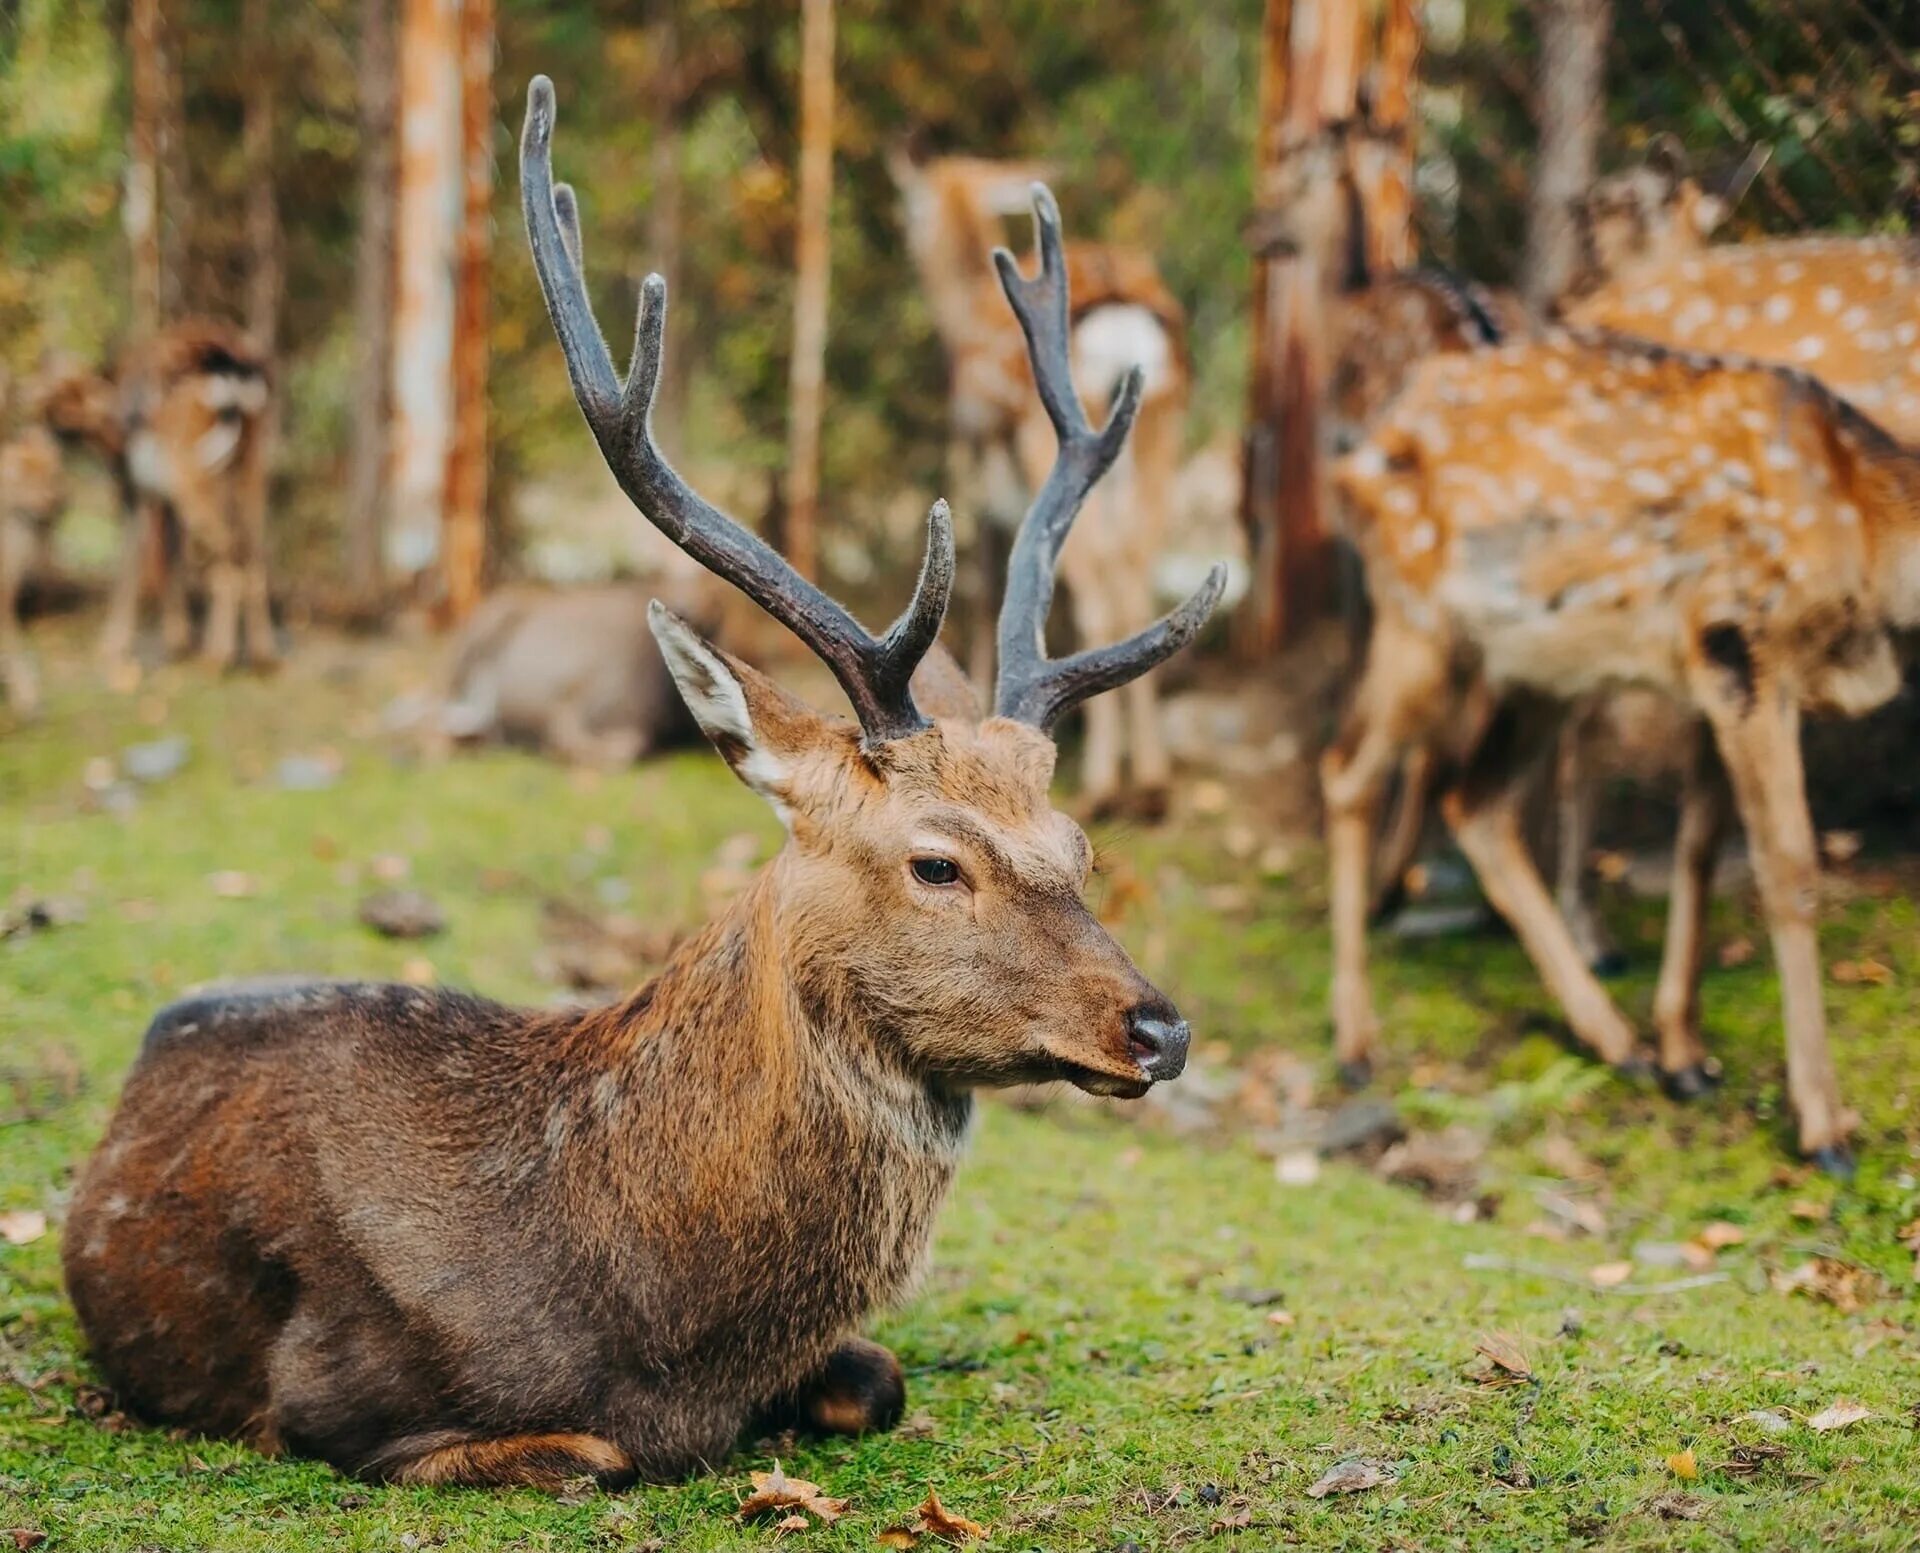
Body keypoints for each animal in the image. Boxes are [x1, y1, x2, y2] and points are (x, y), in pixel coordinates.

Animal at [38, 318, 274, 668]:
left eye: (60, 408)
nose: (45, 433)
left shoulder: (134, 493)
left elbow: (129, 567)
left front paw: (112, 646)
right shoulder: (165, 500)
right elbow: (172, 563)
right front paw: (179, 642)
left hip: (193, 476)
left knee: (228, 556)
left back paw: (217, 658)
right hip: (249, 470)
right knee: (252, 554)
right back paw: (263, 658)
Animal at [890, 149, 1190, 817]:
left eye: (913, 210)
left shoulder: (972, 455)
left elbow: (979, 582)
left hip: (1038, 434)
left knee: (1102, 580)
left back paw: (1107, 784)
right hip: (1158, 426)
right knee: (1137, 571)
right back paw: (1151, 782)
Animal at [1328, 324, 1920, 1174]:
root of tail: (1360, 451)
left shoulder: (1716, 670)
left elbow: (1699, 851)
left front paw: (1683, 1055)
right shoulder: (1743, 639)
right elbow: (1790, 869)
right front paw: (1825, 1128)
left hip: (1537, 664)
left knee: (1475, 799)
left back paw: (1617, 1039)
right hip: (1419, 617)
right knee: (1348, 771)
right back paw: (1355, 1042)